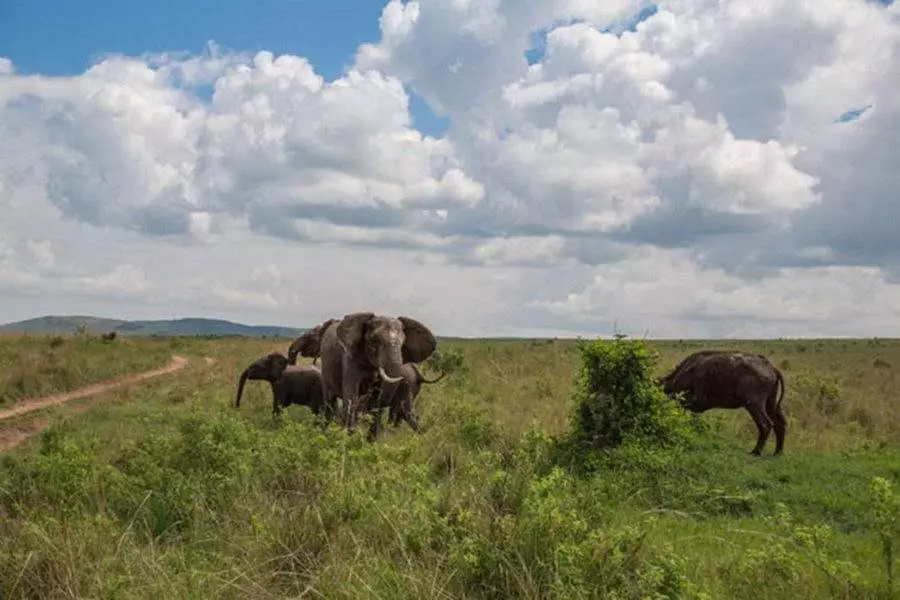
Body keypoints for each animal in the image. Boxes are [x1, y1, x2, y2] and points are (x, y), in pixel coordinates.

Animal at [652, 346, 788, 454]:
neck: (681, 375)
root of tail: (770, 366)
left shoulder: (688, 403)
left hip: (754, 404)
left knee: (766, 424)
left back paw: (756, 451)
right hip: (771, 403)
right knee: (780, 423)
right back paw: (778, 452)